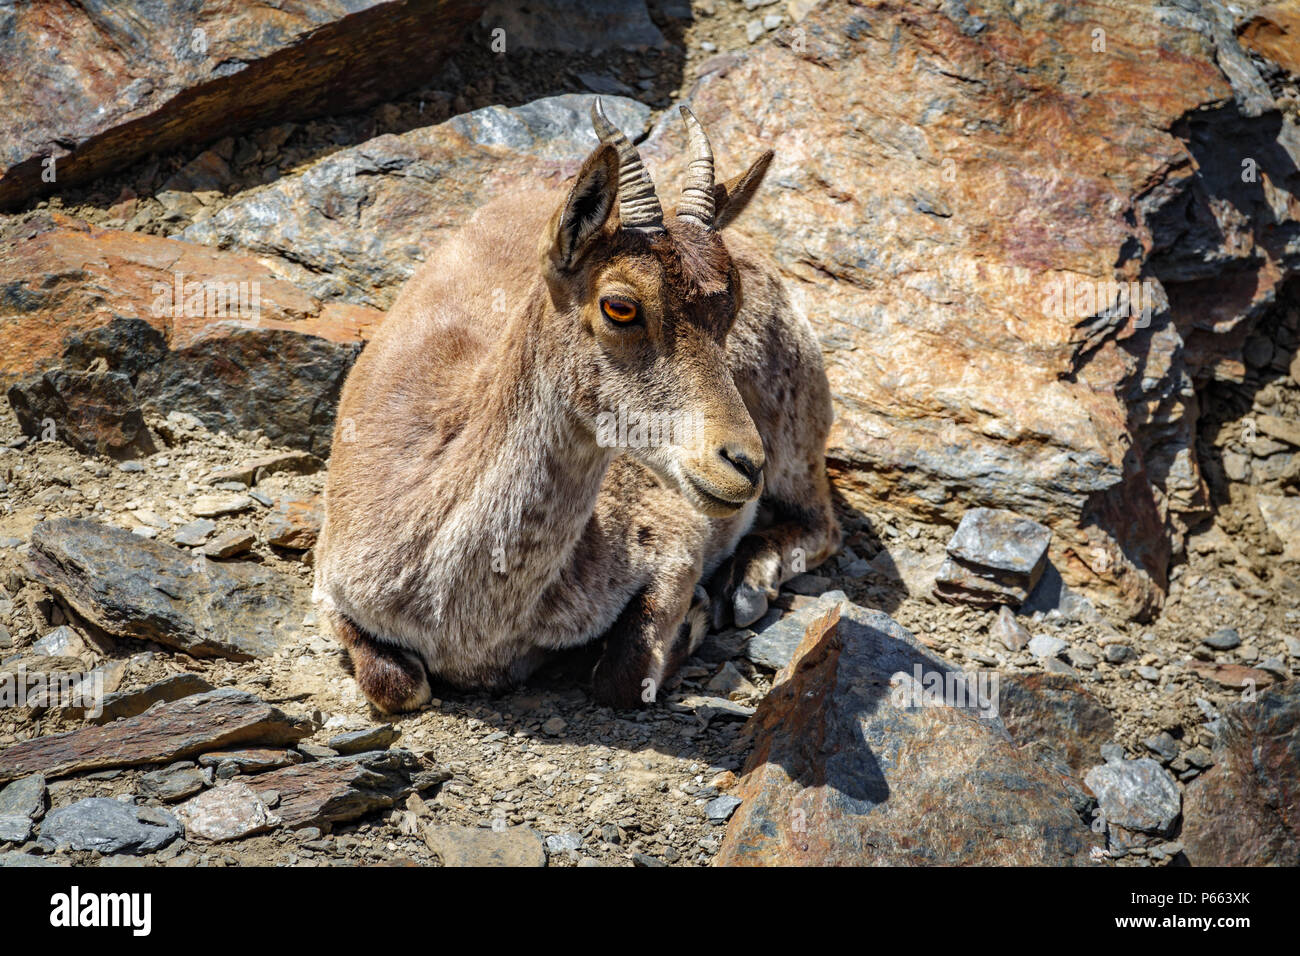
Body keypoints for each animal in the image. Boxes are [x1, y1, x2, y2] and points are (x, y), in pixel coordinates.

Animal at [314, 100, 840, 712]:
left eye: (729, 309)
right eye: (620, 306)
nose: (743, 464)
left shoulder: (674, 540)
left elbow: (623, 675)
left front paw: (695, 618)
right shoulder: (330, 583)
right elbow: (397, 685)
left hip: (795, 428)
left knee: (822, 524)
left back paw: (747, 584)